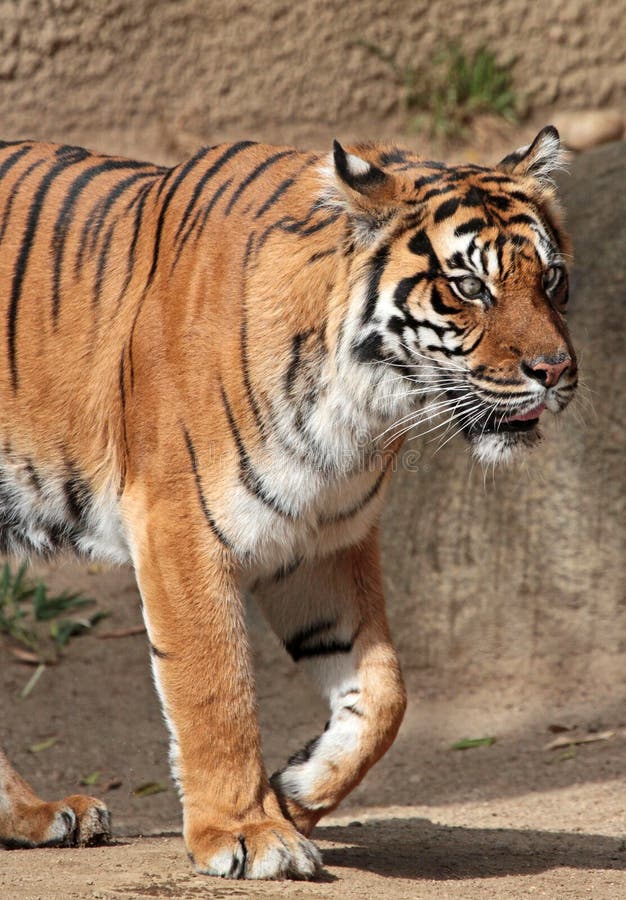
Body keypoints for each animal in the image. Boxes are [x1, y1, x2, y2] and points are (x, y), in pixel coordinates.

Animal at [0, 127, 577, 879]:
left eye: (552, 279)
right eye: (468, 286)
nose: (557, 372)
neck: (358, 411)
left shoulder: (320, 539)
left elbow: (385, 690)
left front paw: (297, 788)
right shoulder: (179, 530)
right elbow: (215, 690)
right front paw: (246, 831)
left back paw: (40, 816)